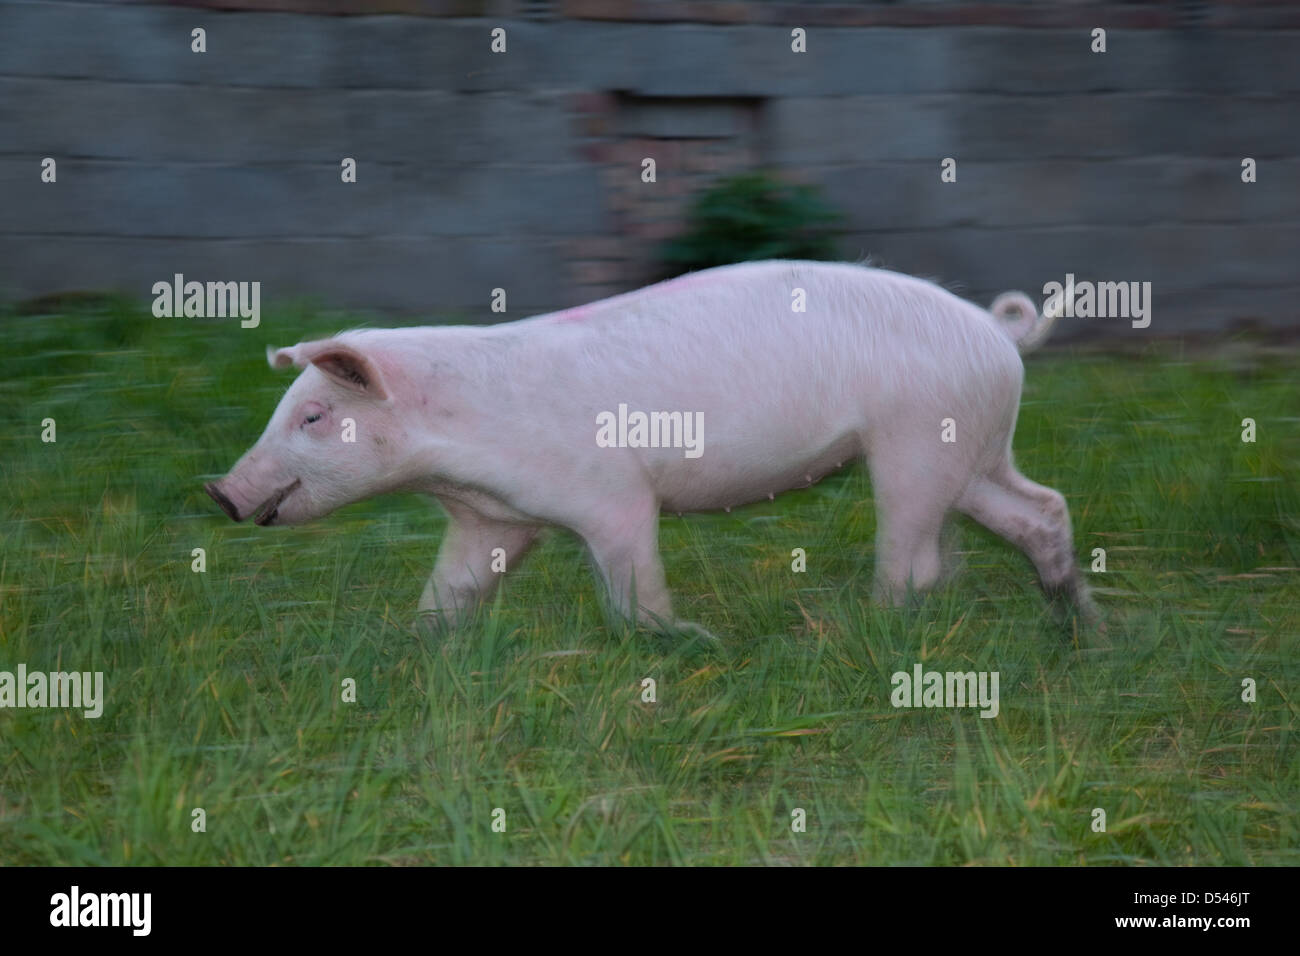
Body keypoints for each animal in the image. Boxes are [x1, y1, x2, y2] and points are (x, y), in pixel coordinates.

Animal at [205, 260, 1099, 638]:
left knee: (915, 558)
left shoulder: (610, 494)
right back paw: (1083, 628)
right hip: (971, 447)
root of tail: (997, 330)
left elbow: (632, 588)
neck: (459, 445)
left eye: (313, 415)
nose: (219, 491)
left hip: (915, 437)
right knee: (1040, 508)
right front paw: (406, 645)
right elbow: (450, 590)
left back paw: (861, 632)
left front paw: (694, 642)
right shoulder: (494, 518)